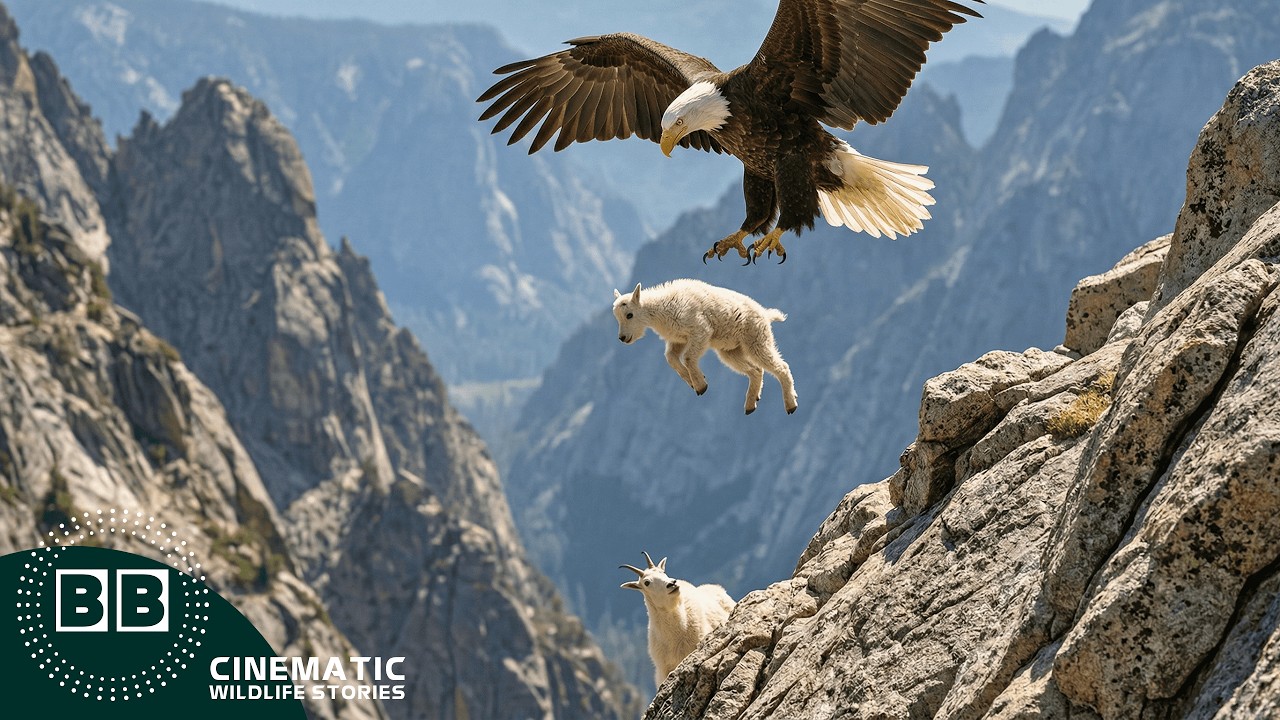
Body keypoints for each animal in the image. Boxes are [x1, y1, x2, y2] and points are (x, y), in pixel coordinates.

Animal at [612, 279, 798, 414]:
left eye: (629, 315)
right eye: (617, 317)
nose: (622, 338)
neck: (661, 309)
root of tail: (766, 314)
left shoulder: (700, 331)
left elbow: (687, 357)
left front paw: (701, 386)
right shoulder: (679, 339)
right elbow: (671, 357)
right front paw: (693, 382)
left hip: (755, 340)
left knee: (780, 366)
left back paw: (790, 405)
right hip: (730, 351)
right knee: (755, 370)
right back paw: (751, 404)